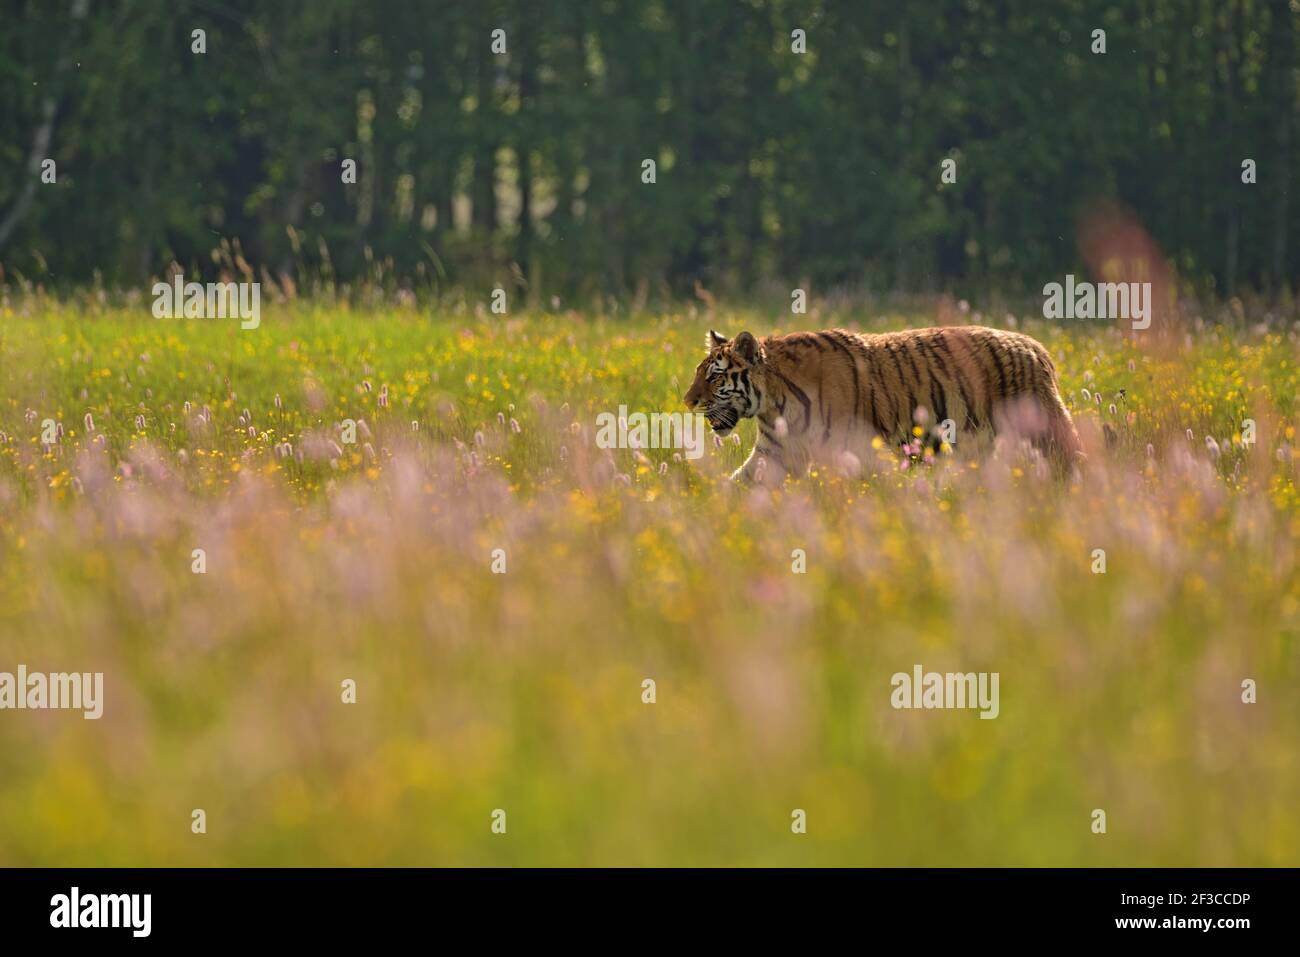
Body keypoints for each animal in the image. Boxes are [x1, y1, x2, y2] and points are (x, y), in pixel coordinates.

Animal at [682, 326, 1082, 483]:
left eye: (714, 377)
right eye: (699, 372)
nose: (687, 402)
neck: (774, 403)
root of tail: (1035, 346)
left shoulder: (864, 451)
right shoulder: (772, 454)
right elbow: (735, 485)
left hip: (1048, 434)